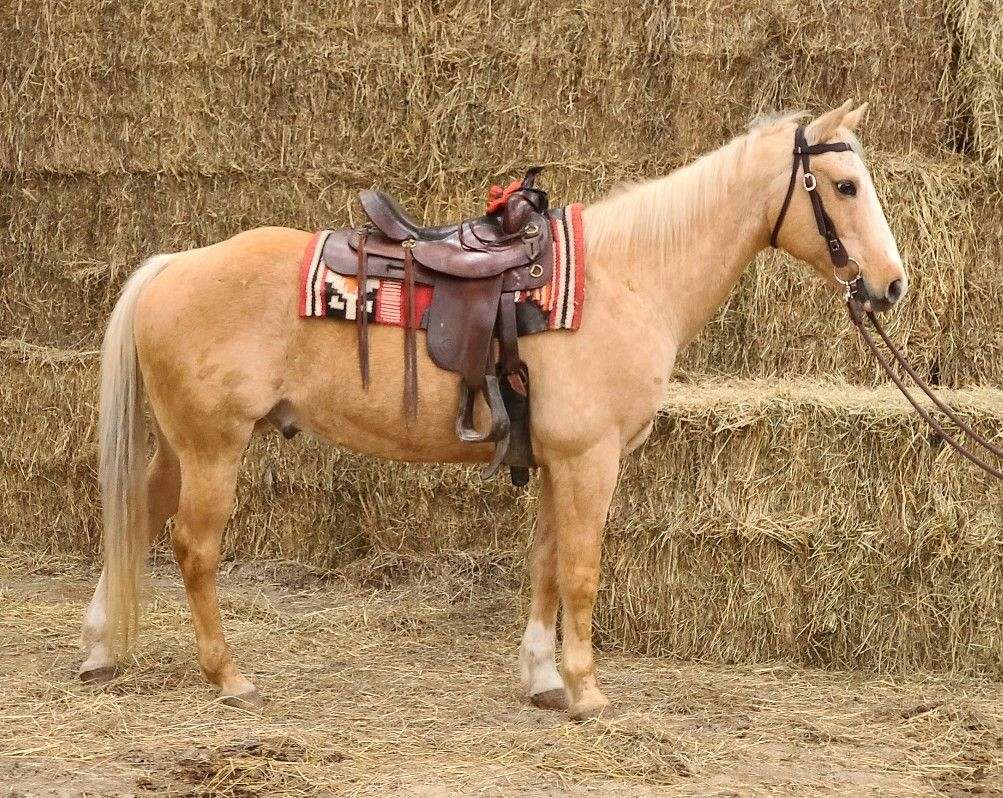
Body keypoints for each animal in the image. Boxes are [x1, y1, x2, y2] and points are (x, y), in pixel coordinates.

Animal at [80, 101, 906, 720]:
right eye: (842, 186)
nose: (891, 284)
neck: (626, 278)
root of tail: (171, 267)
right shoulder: (588, 458)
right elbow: (580, 570)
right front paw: (585, 690)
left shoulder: (551, 459)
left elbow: (543, 564)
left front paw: (542, 678)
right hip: (213, 448)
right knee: (192, 548)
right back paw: (227, 676)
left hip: (179, 445)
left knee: (136, 517)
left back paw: (99, 647)